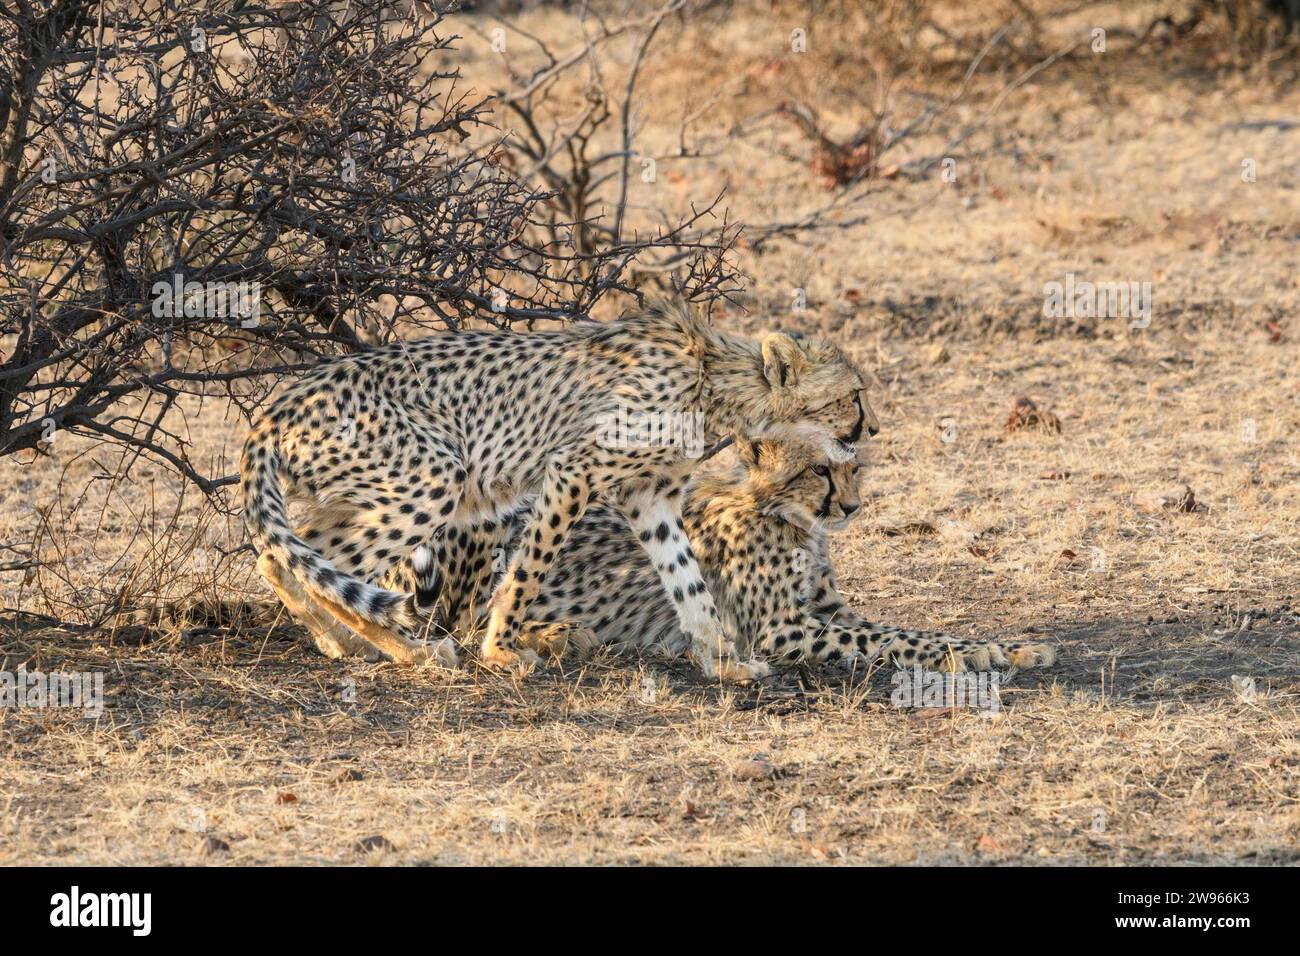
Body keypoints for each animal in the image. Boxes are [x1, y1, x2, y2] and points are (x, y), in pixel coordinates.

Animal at [240, 297, 875, 681]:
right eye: (854, 394)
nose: (869, 428)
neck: (710, 376)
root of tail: (278, 406)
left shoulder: (649, 496)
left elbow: (687, 578)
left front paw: (723, 661)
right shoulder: (575, 472)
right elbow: (528, 571)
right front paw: (500, 649)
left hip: (367, 494)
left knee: (286, 555)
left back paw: (339, 639)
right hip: (435, 478)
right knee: (311, 562)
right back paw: (412, 650)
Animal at [414, 436, 1057, 674]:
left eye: (853, 466)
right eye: (819, 469)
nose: (852, 507)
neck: (787, 517)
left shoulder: (830, 610)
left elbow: (913, 629)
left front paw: (1013, 648)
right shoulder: (779, 629)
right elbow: (902, 640)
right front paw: (984, 655)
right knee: (464, 620)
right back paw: (555, 635)